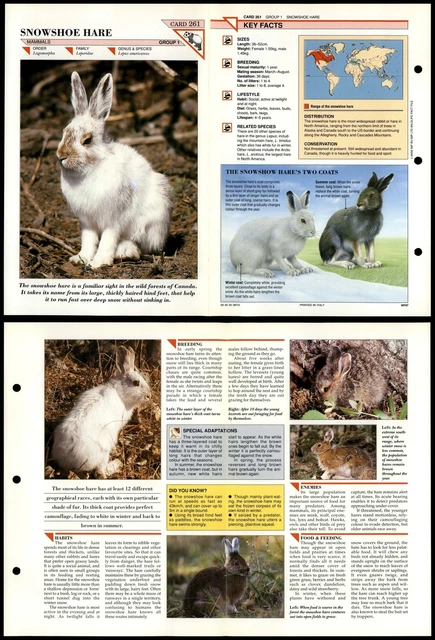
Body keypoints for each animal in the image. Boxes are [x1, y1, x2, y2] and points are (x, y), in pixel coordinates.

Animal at [51, 346, 151, 478]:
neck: (119, 393)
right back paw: (116, 464)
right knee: (100, 471)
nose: (149, 396)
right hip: (104, 450)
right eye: (136, 383)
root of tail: (65, 458)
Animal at [57, 71, 171, 269]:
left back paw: (125, 252)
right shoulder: (87, 222)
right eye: (64, 132)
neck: (91, 168)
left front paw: (98, 262)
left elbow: (108, 240)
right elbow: (88, 240)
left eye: (87, 140)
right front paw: (81, 258)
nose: (61, 155)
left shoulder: (113, 220)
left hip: (153, 221)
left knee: (138, 243)